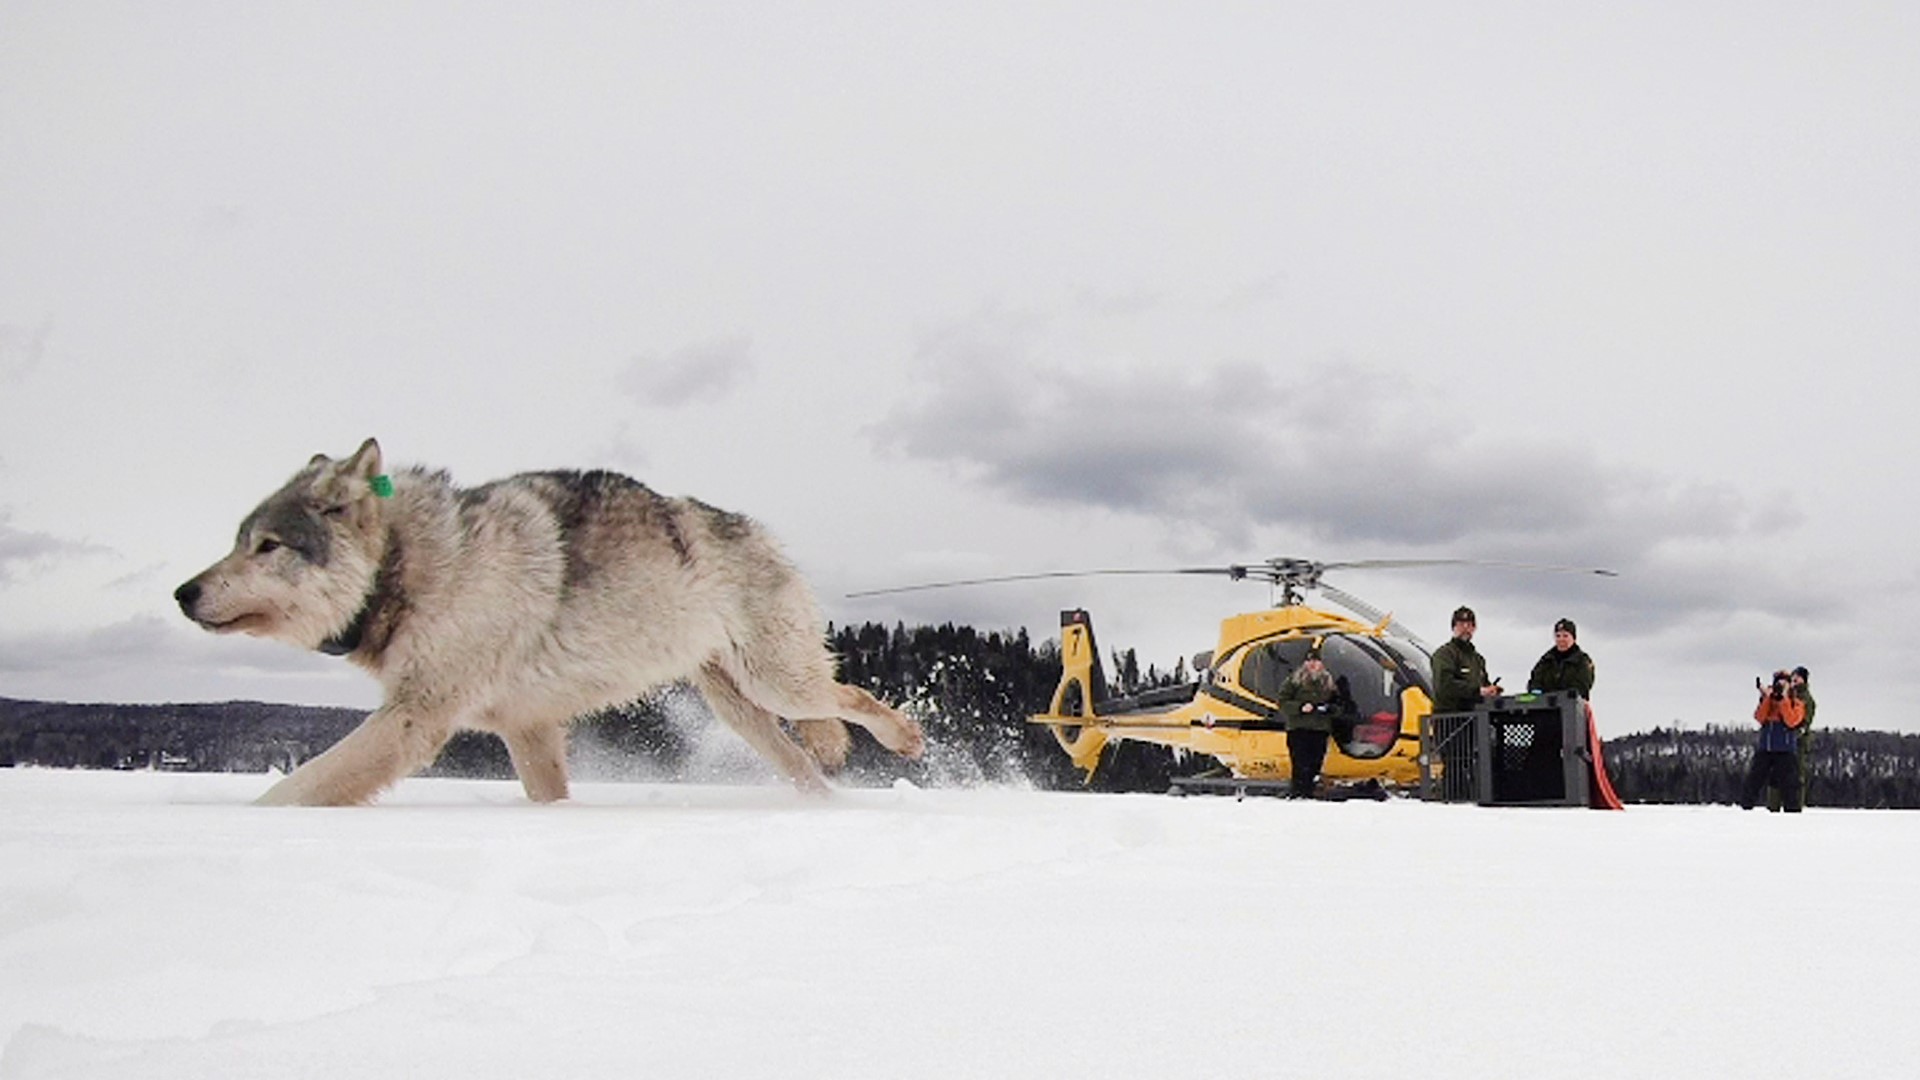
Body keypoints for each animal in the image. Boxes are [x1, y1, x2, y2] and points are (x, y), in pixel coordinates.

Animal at [174, 438, 924, 806]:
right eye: (237, 539)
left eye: (267, 545)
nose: (183, 592)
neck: (413, 565)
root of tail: (755, 527)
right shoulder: (527, 727)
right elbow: (548, 798)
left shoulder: (415, 718)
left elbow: (293, 790)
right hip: (740, 711)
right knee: (806, 761)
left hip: (778, 685)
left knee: (852, 698)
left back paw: (908, 738)